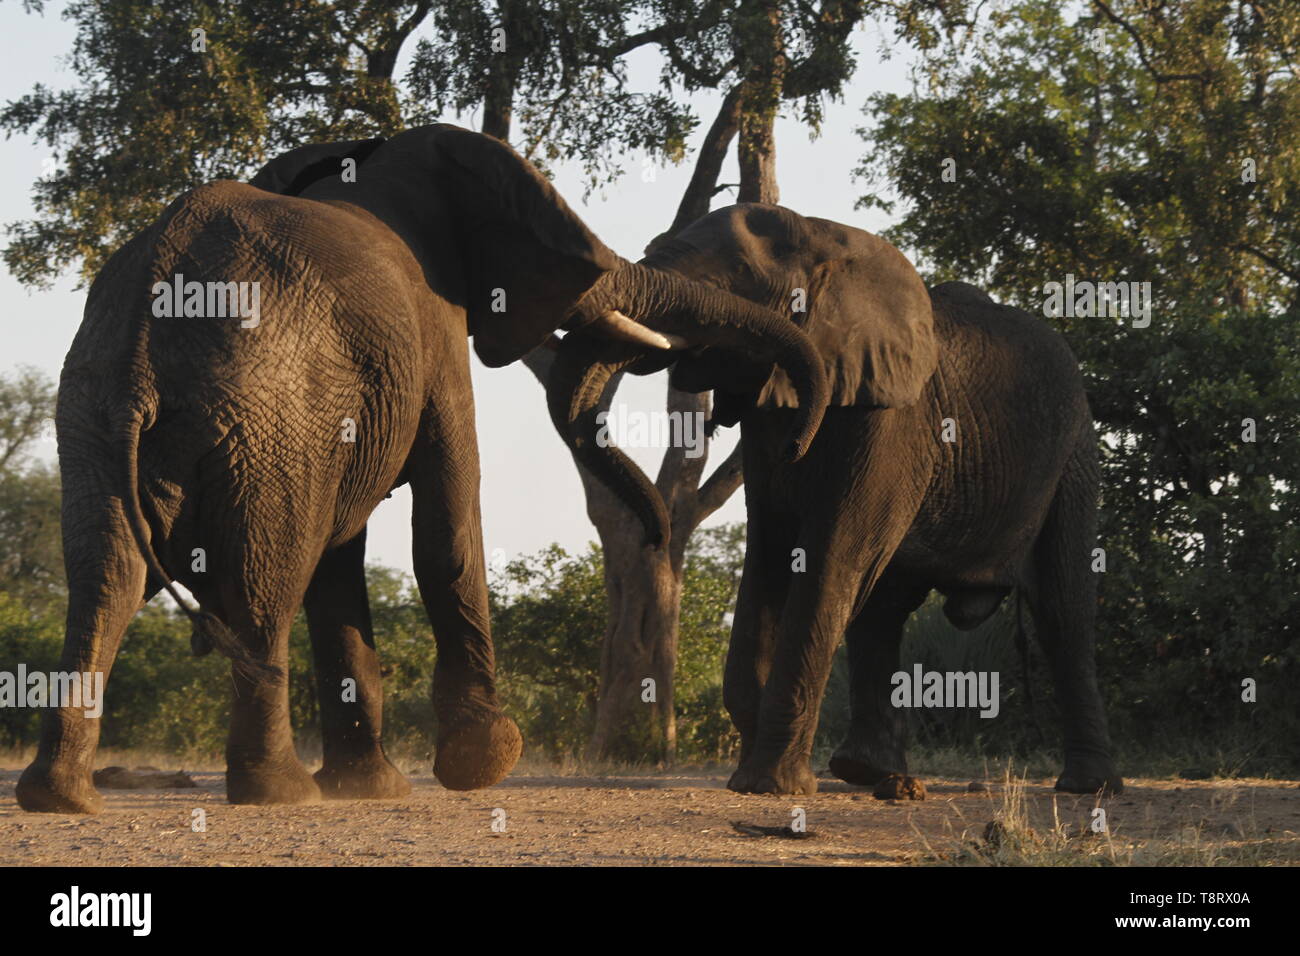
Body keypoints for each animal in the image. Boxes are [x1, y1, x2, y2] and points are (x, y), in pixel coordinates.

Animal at [16, 128, 830, 813]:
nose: (658, 536)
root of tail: (143, 337)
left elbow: (342, 566)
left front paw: (369, 790)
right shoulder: (435, 329)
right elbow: (448, 514)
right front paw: (483, 763)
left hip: (102, 415)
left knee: (106, 579)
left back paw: (61, 799)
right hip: (261, 416)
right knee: (261, 584)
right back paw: (278, 793)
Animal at [547, 202, 1123, 797]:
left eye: (738, 278)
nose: (657, 534)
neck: (826, 237)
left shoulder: (893, 417)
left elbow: (830, 556)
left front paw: (771, 786)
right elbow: (773, 553)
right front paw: (753, 779)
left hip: (1074, 454)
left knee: (1062, 609)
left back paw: (1089, 786)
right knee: (883, 611)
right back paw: (875, 775)